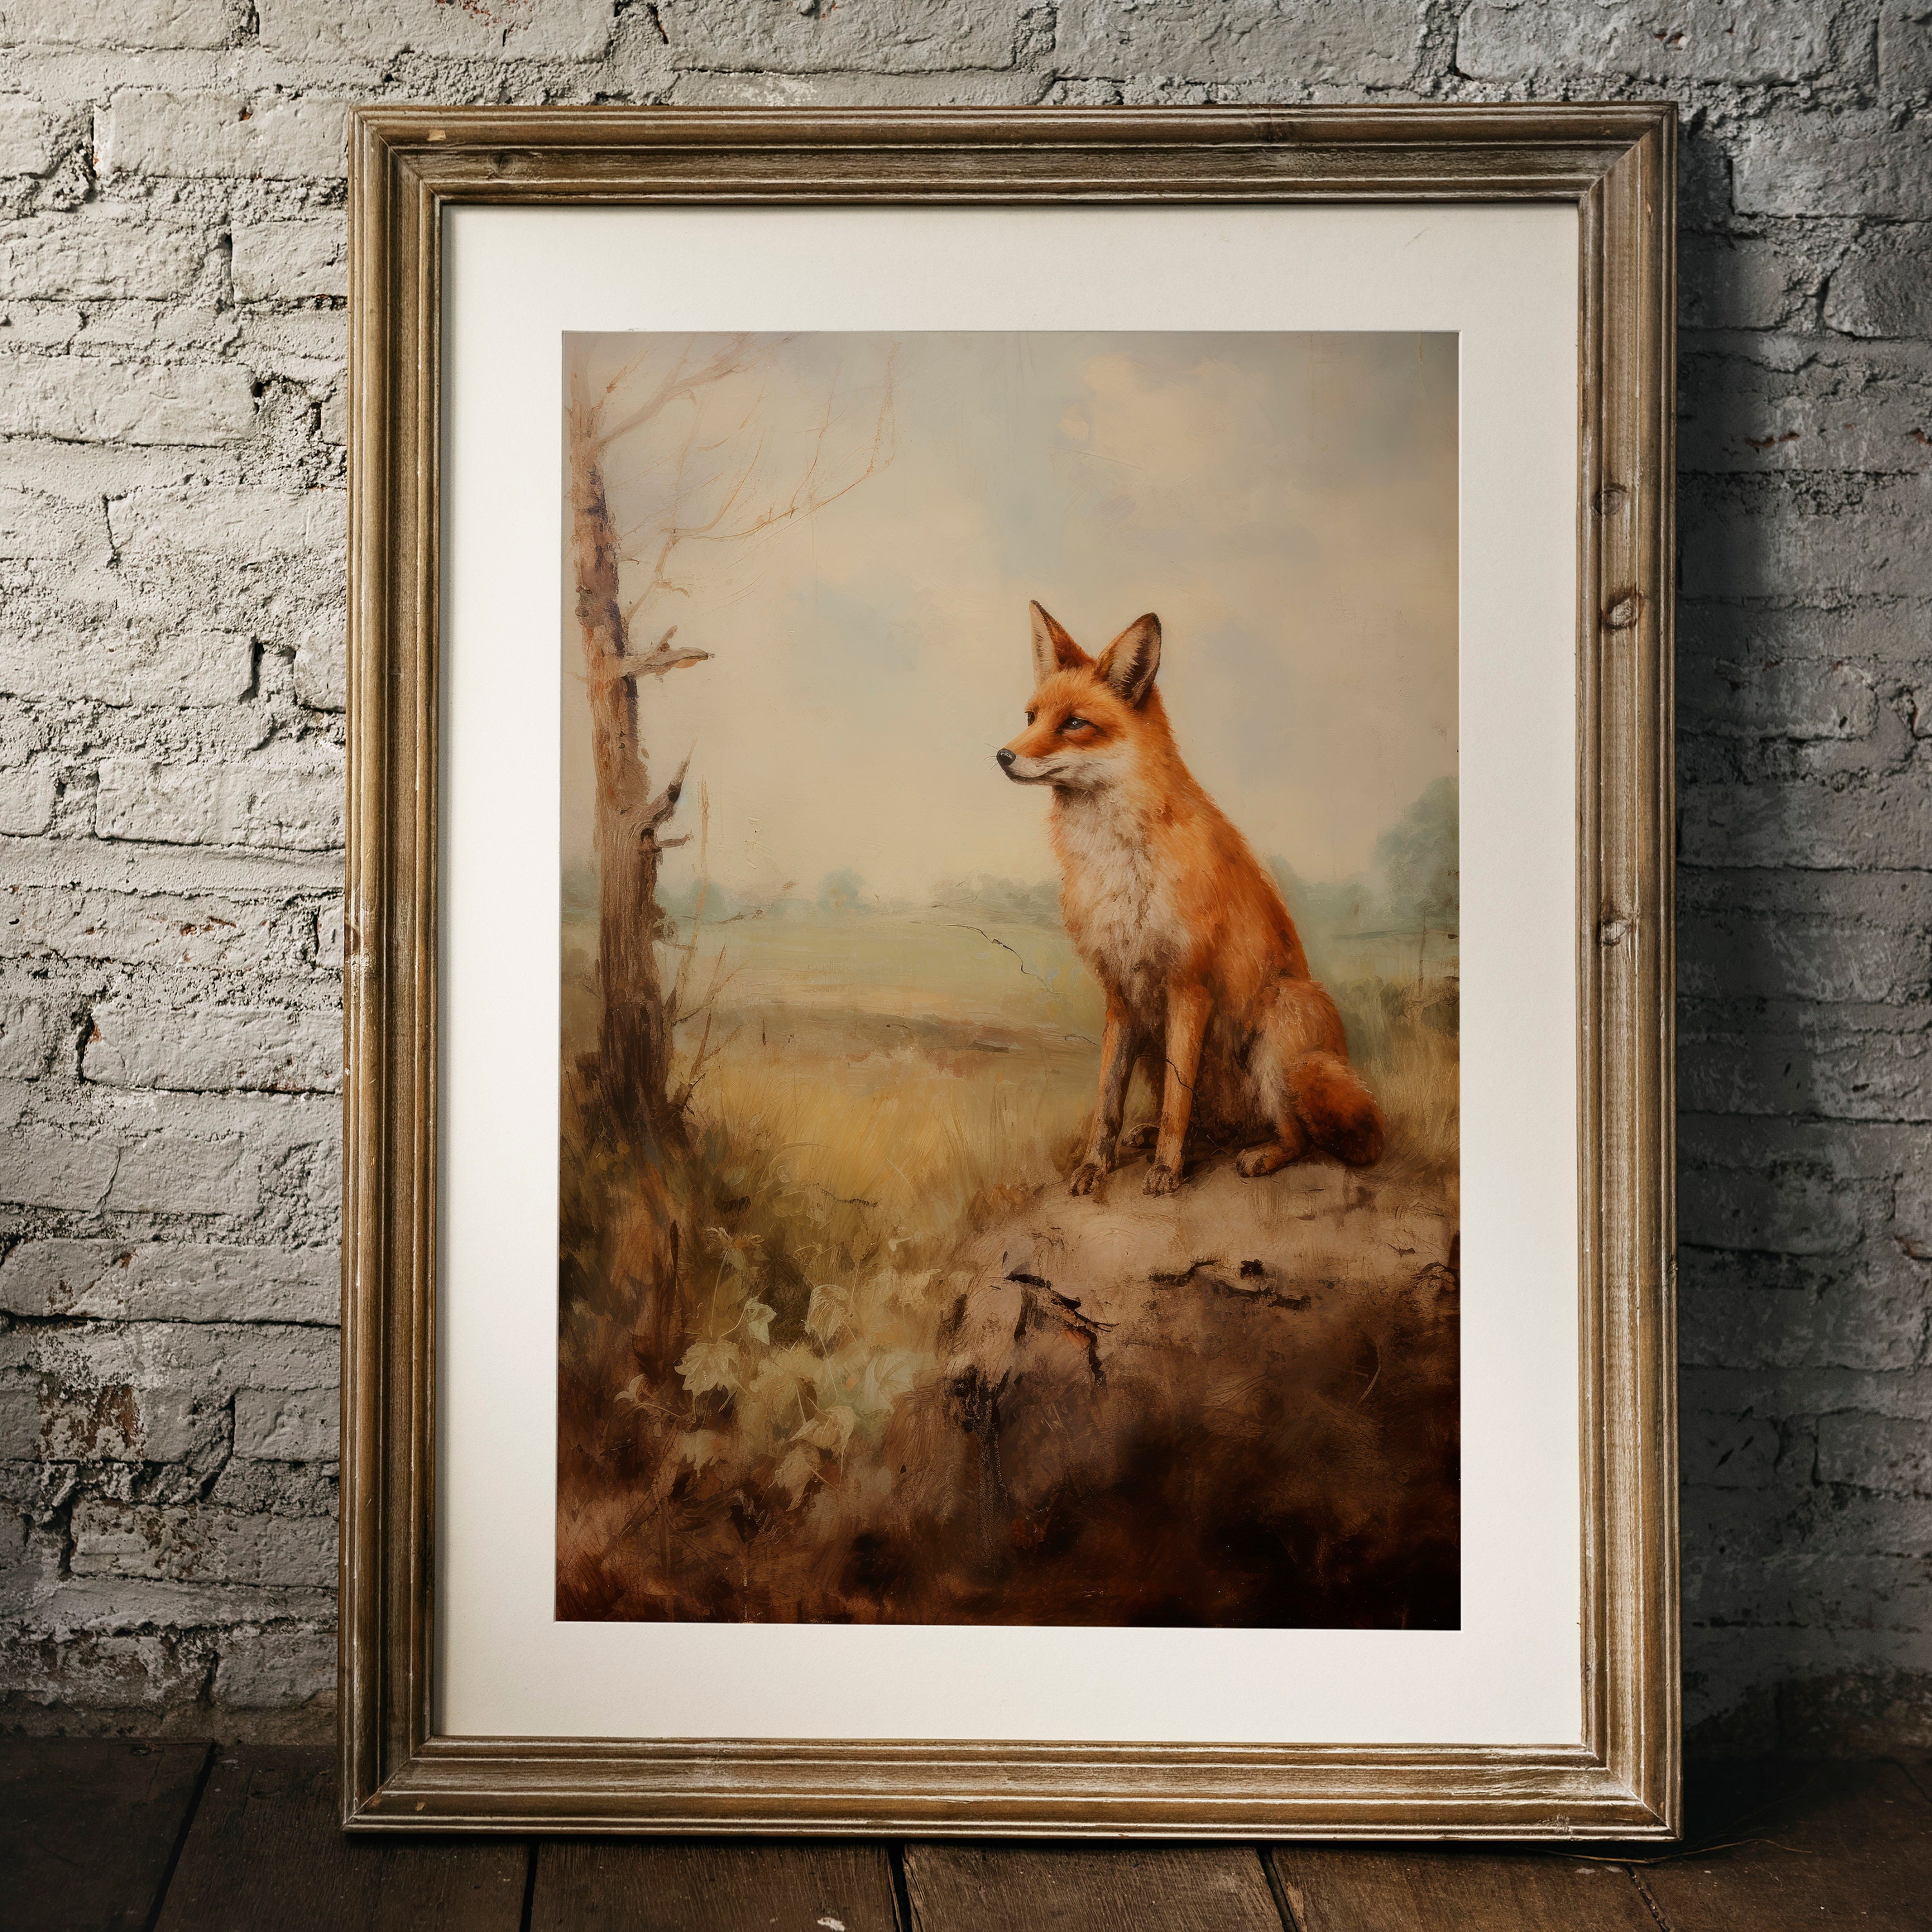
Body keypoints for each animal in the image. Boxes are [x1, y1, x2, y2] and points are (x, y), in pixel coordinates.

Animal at [997, 601, 1386, 1197]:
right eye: (1031, 718)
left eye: (1075, 724)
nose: (1002, 756)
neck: (1120, 865)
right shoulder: (1121, 995)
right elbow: (1108, 1101)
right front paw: (1095, 1167)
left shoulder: (1188, 985)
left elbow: (1178, 1100)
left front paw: (1165, 1172)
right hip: (1155, 1039)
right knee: (1205, 1121)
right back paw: (1158, 1135)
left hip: (1279, 1033)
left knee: (1296, 1135)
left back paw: (1257, 1155)